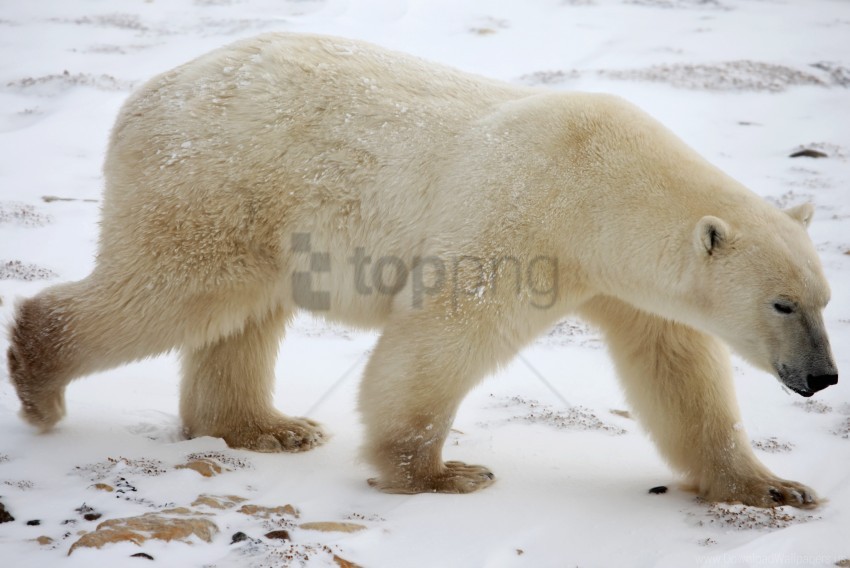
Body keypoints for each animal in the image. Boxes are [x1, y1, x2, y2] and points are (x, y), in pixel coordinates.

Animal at [7, 33, 838, 508]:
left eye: (825, 299)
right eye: (782, 305)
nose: (823, 377)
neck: (603, 182)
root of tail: (142, 97)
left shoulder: (630, 282)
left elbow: (678, 373)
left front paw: (774, 486)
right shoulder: (526, 216)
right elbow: (444, 334)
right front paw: (440, 473)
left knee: (241, 316)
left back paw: (267, 427)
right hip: (215, 181)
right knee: (172, 289)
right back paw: (40, 380)